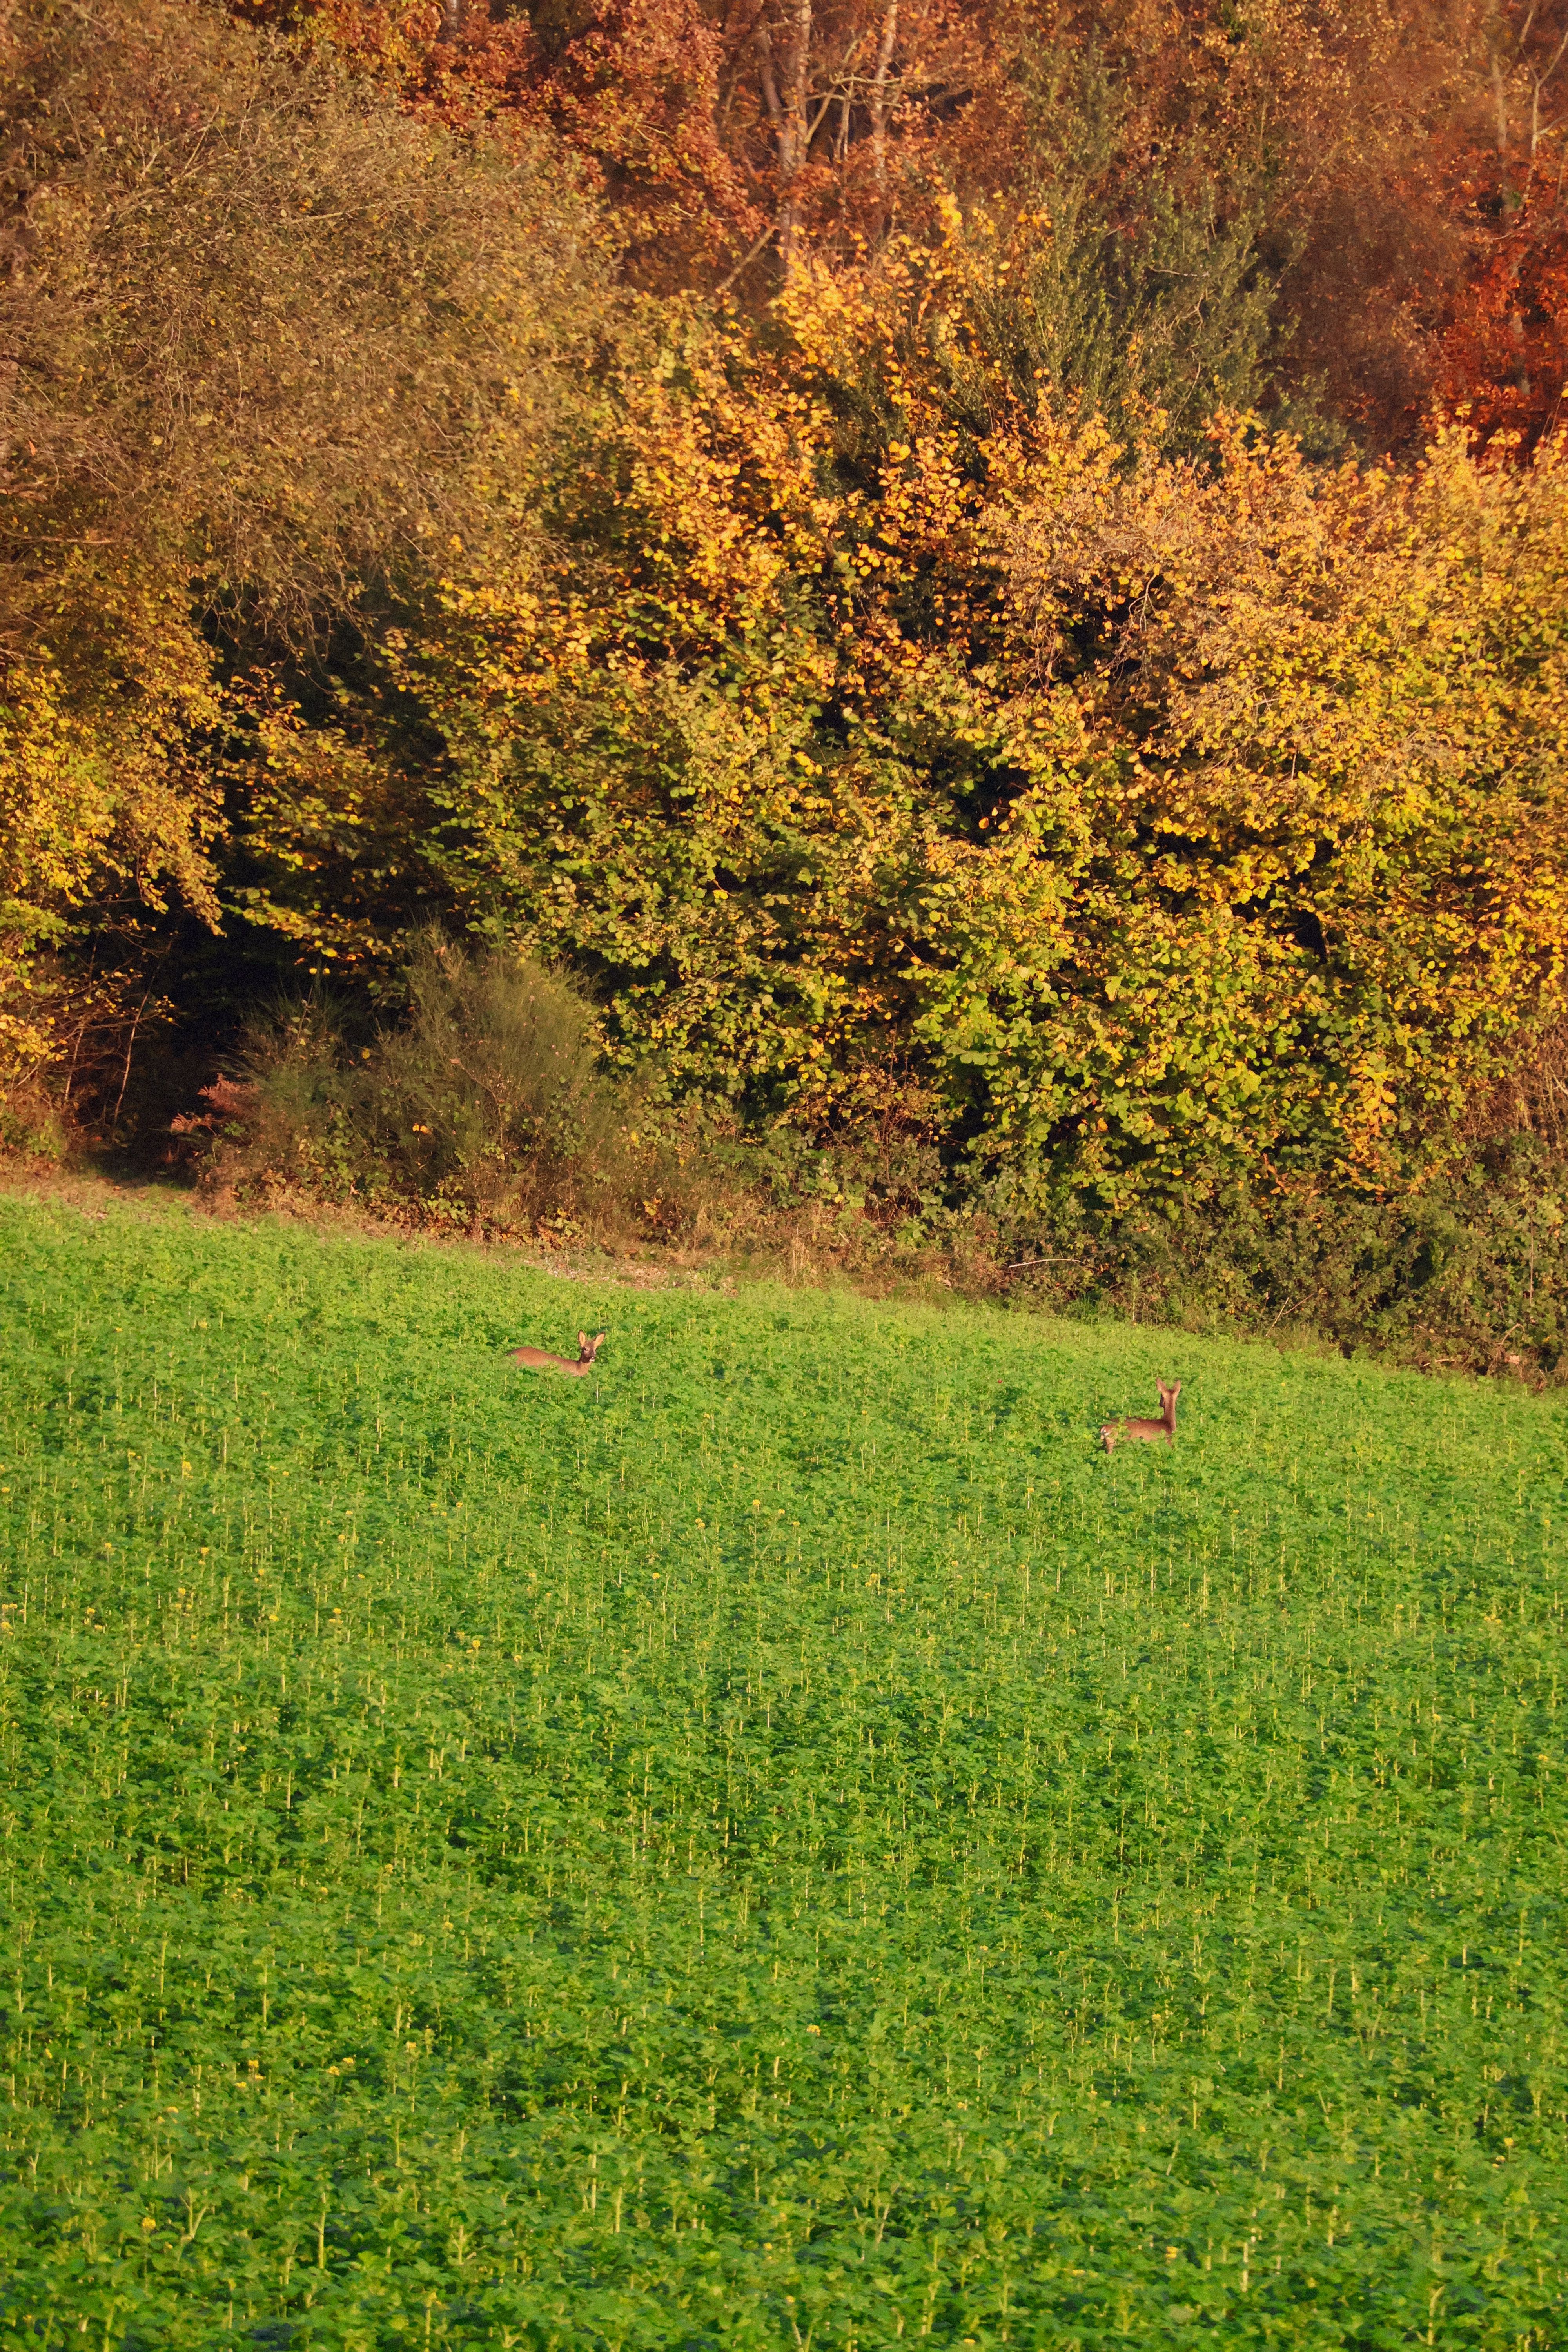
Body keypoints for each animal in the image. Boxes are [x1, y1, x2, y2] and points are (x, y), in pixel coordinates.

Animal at [1100, 1379, 1180, 1451]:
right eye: (1161, 1395)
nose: (1160, 1404)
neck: (1168, 1424)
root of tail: (1104, 1428)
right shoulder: (1168, 1443)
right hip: (1116, 1440)